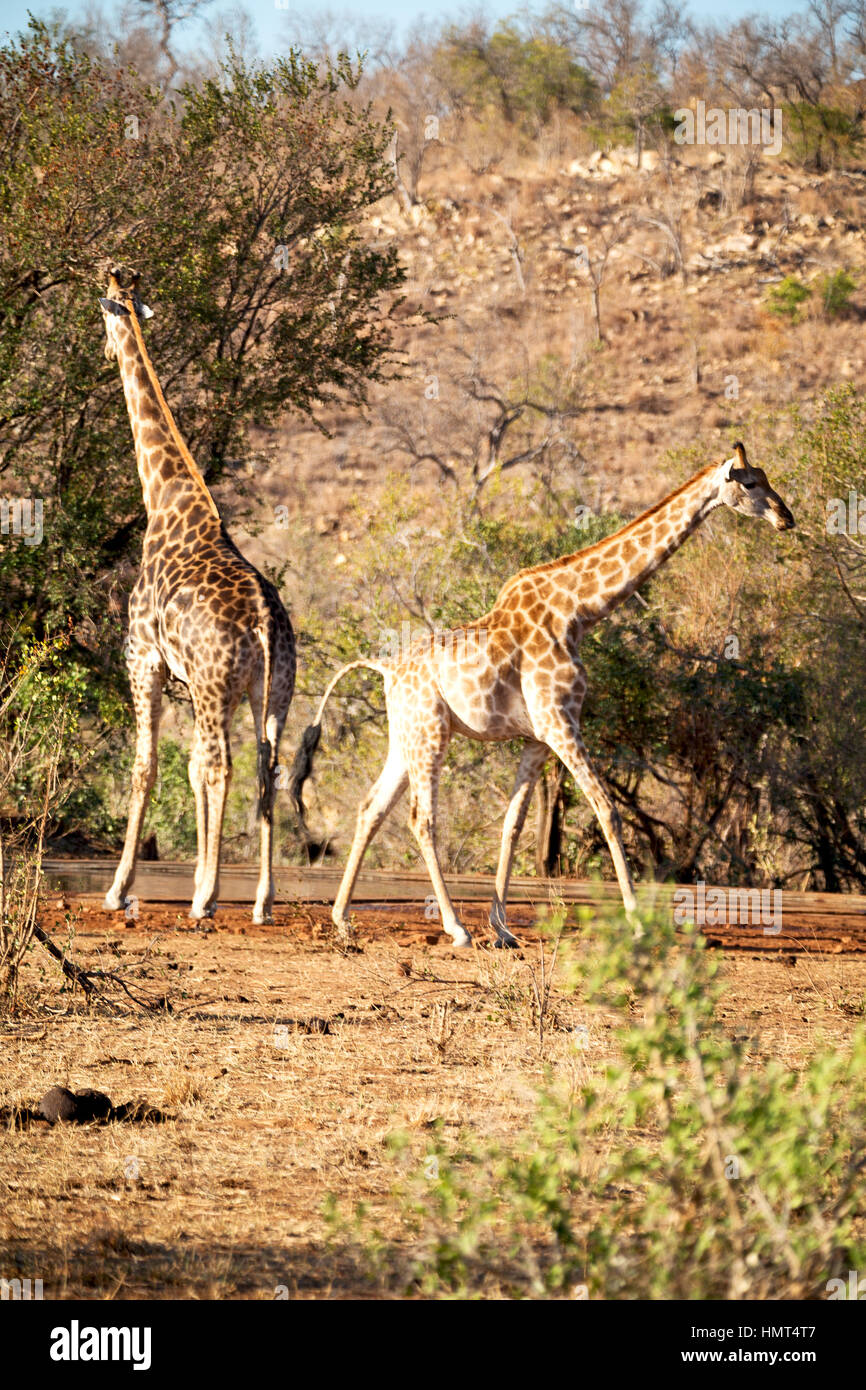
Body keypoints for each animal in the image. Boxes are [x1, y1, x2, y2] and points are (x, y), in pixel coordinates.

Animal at [99, 270, 295, 924]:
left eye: (101, 312)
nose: (104, 350)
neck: (163, 498)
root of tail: (263, 622)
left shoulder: (144, 658)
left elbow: (147, 767)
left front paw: (121, 889)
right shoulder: (194, 680)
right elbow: (186, 768)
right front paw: (193, 882)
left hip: (215, 687)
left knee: (223, 766)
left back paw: (209, 899)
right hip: (270, 690)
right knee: (266, 766)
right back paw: (260, 900)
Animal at [290, 444, 794, 947]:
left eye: (767, 477)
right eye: (750, 483)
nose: (786, 517)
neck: (580, 611)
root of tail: (387, 669)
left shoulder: (538, 736)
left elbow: (513, 824)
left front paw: (503, 928)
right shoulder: (561, 723)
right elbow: (607, 810)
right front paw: (635, 920)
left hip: (406, 737)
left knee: (371, 809)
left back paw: (343, 919)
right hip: (431, 733)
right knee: (421, 818)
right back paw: (455, 928)